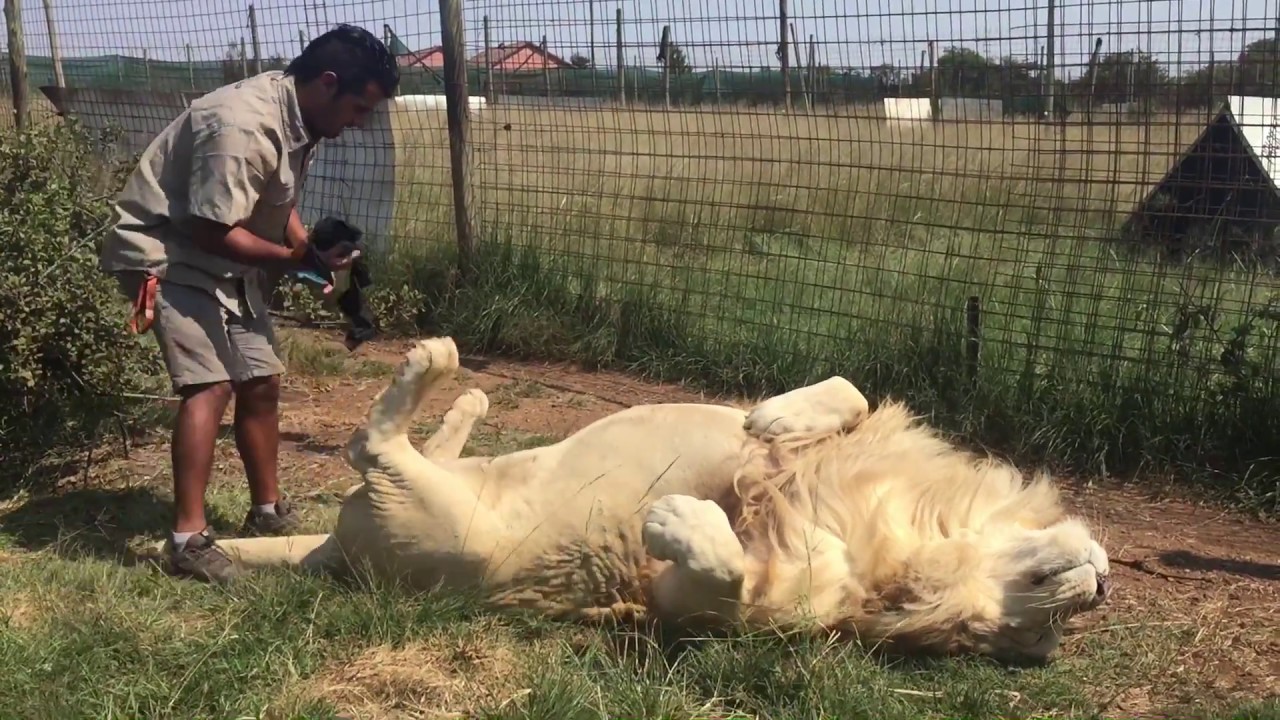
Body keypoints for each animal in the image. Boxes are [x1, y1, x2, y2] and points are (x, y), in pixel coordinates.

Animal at [215, 336, 1111, 663]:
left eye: (1033, 634)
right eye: (1049, 616)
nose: (1100, 590)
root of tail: (332, 549)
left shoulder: (697, 604)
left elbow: (720, 573)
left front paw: (678, 516)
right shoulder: (825, 457)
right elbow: (849, 394)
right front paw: (773, 414)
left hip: (448, 529)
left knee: (373, 448)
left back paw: (434, 366)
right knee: (402, 447)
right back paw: (461, 391)